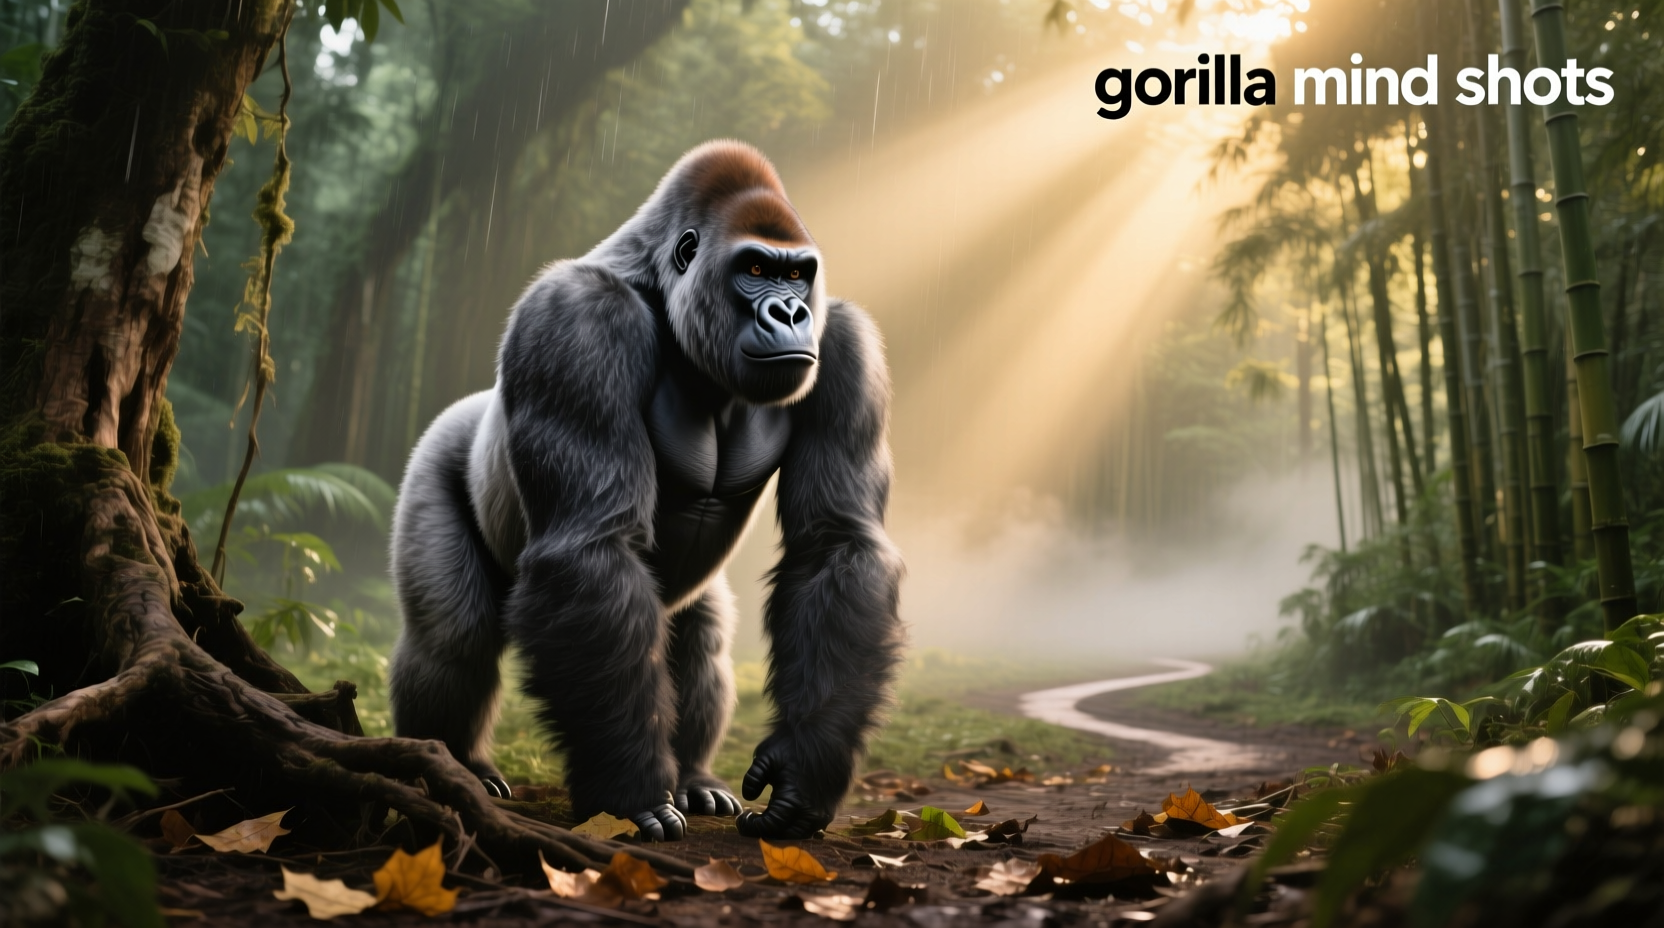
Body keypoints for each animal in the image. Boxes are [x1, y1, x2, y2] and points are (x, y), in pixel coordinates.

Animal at [387, 140, 904, 841]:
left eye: (798, 276)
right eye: (754, 268)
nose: (791, 313)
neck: (663, 287)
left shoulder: (848, 345)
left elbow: (836, 543)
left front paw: (807, 764)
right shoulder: (575, 320)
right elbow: (590, 549)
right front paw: (626, 790)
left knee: (700, 640)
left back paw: (692, 777)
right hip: (433, 458)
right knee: (452, 635)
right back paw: (449, 764)